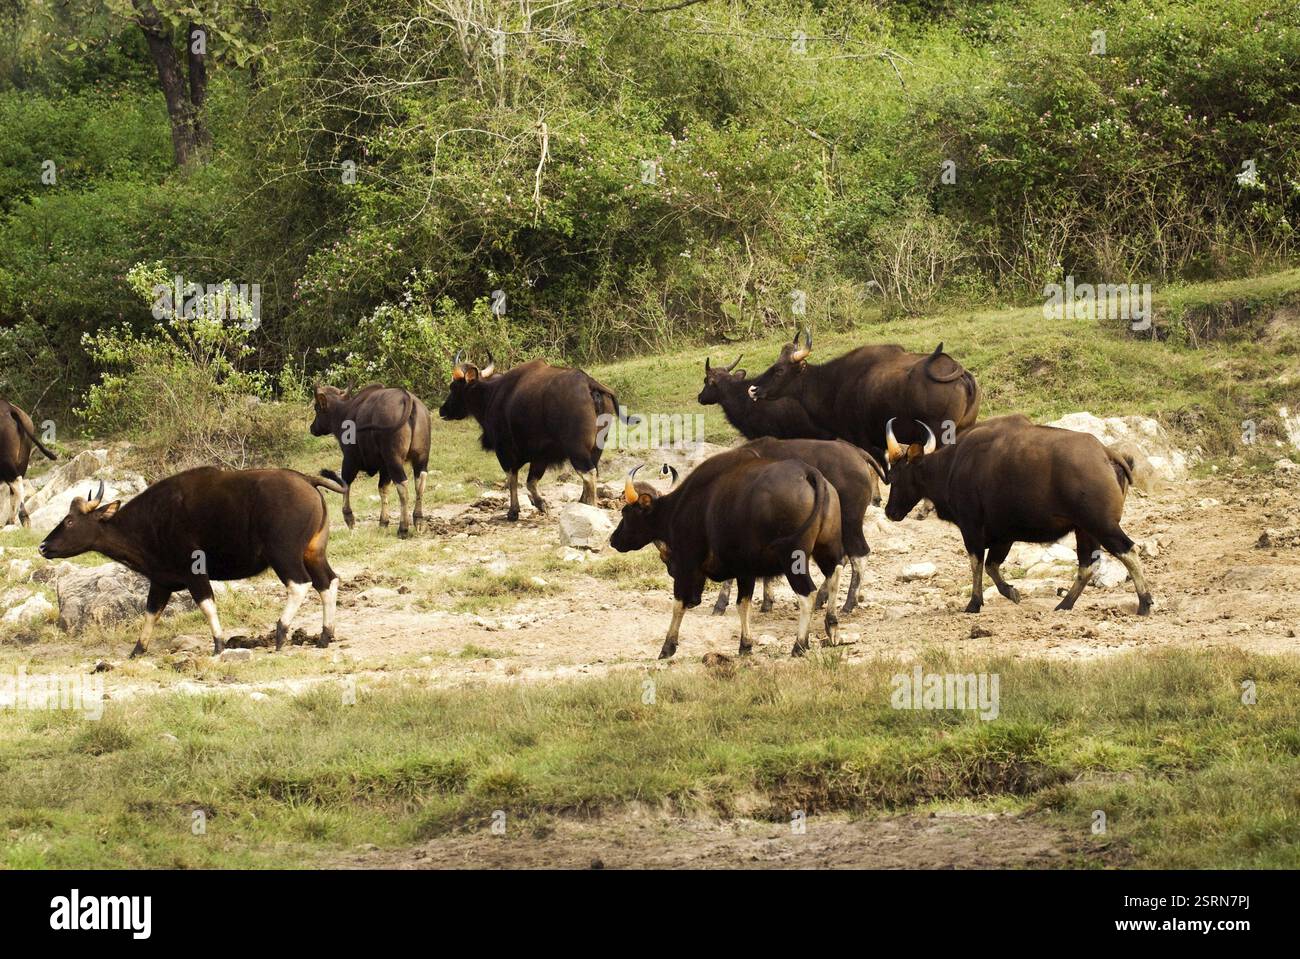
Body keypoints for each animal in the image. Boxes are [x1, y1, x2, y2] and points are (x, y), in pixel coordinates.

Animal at [38, 469, 347, 657]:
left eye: (69, 520)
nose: (43, 546)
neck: (149, 523)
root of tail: (306, 479)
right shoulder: (161, 581)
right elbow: (151, 613)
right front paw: (138, 650)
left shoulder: (194, 573)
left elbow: (207, 605)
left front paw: (219, 644)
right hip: (313, 552)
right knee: (327, 582)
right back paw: (325, 636)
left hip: (283, 554)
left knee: (300, 584)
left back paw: (281, 633)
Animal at [311, 384, 431, 537]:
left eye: (316, 408)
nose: (312, 428)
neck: (343, 412)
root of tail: (407, 398)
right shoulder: (384, 466)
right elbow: (383, 488)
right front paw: (383, 522)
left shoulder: (350, 459)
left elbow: (345, 484)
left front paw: (349, 519)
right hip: (421, 458)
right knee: (420, 483)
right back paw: (418, 521)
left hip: (394, 459)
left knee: (403, 486)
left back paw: (403, 528)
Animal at [610, 449, 844, 658]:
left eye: (626, 512)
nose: (614, 539)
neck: (680, 508)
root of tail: (808, 472)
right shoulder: (745, 571)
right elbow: (743, 604)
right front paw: (745, 645)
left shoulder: (687, 563)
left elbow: (678, 604)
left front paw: (667, 647)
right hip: (827, 548)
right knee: (835, 573)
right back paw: (832, 627)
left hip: (792, 557)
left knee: (808, 594)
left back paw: (799, 645)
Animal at [882, 415, 1153, 616]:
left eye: (895, 475)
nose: (890, 511)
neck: (952, 465)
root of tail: (1106, 453)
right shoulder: (1004, 536)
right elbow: (992, 566)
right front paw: (1012, 592)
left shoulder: (972, 528)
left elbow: (976, 563)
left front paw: (974, 603)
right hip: (1084, 529)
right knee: (1088, 564)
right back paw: (1064, 604)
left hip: (1101, 524)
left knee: (1128, 550)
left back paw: (1144, 602)